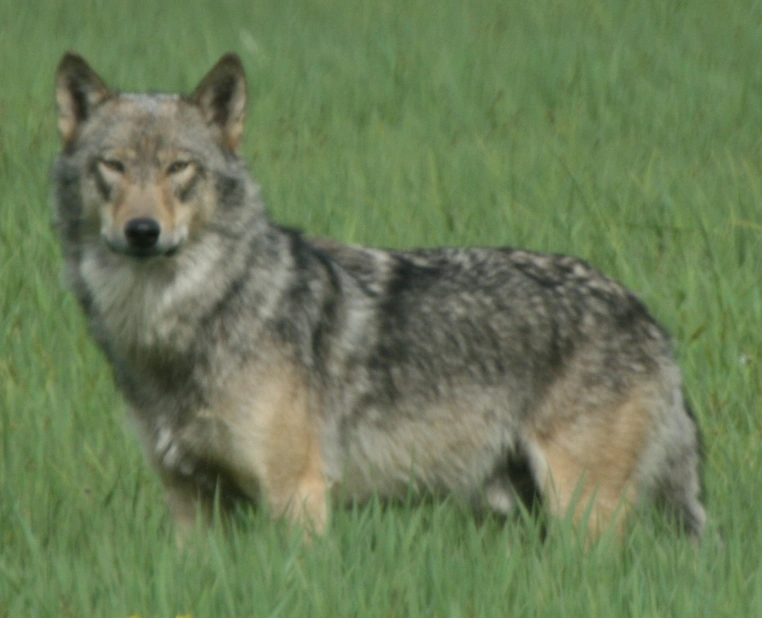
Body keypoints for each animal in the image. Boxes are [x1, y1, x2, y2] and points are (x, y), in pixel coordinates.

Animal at [52, 52, 706, 543]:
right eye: (113, 166)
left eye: (179, 168)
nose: (142, 231)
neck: (181, 326)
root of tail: (644, 312)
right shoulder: (190, 502)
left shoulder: (298, 497)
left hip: (581, 511)